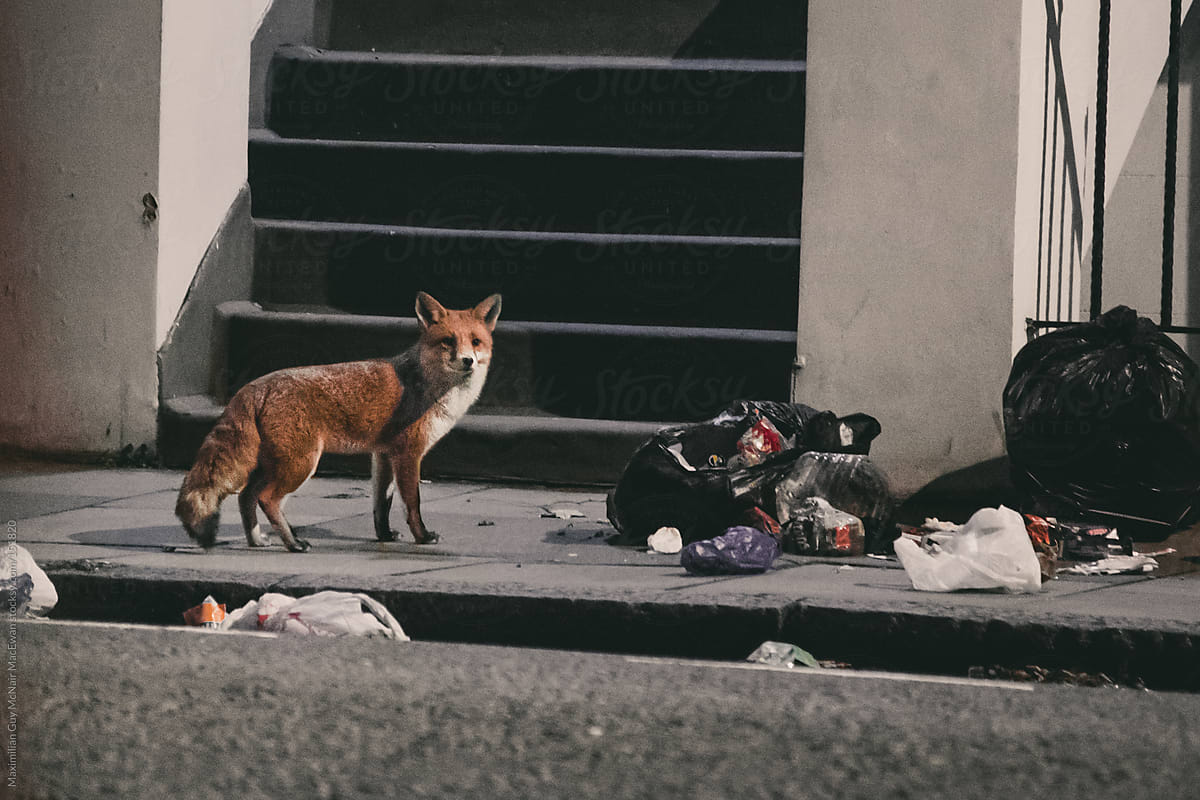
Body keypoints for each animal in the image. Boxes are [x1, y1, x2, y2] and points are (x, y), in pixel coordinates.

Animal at [175, 292, 501, 552]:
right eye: (448, 342)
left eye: (475, 342)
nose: (468, 361)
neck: (428, 386)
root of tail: (256, 386)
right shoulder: (408, 454)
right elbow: (412, 504)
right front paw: (422, 537)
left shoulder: (383, 455)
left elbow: (381, 505)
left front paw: (384, 536)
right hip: (300, 464)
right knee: (266, 499)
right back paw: (293, 544)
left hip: (272, 464)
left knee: (245, 498)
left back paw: (257, 541)